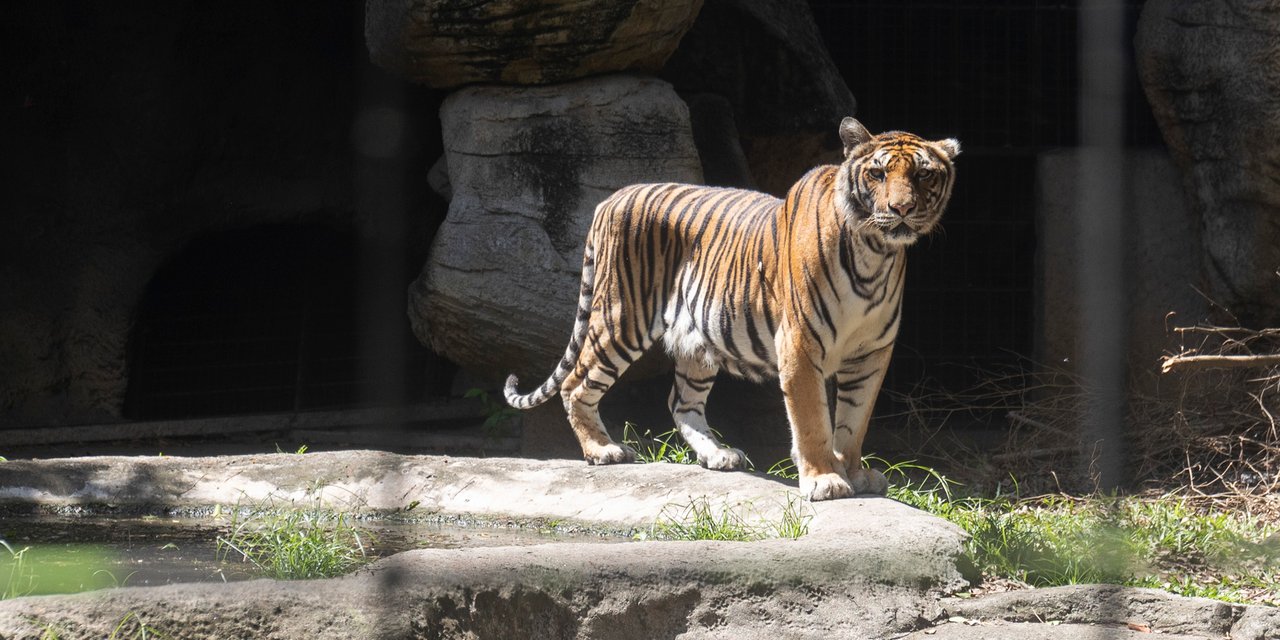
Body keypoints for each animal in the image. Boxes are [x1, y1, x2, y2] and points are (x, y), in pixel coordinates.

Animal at [504, 118, 960, 501]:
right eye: (877, 173)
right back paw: (602, 449)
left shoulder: (871, 353)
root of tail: (612, 198)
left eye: (922, 174)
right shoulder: (800, 344)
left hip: (697, 343)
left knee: (681, 402)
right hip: (622, 316)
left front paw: (854, 473)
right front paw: (825, 480)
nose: (901, 209)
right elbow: (813, 419)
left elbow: (853, 421)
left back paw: (718, 455)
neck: (875, 252)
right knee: (575, 383)